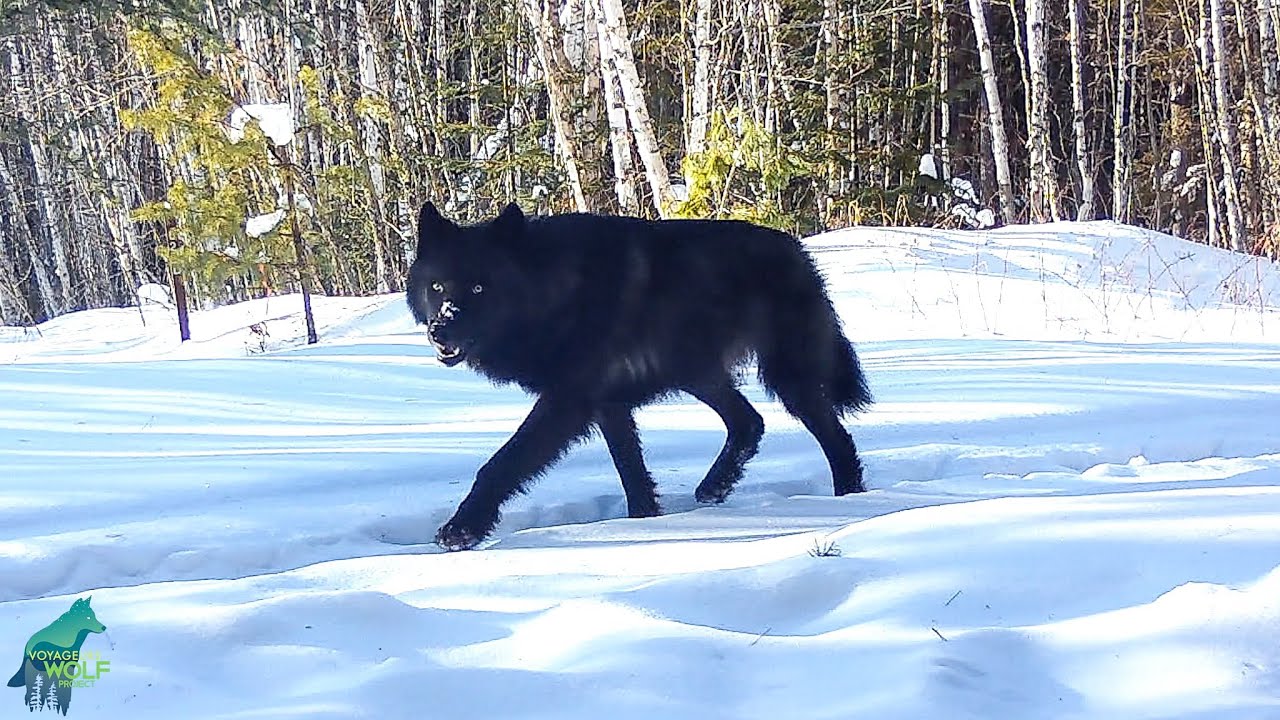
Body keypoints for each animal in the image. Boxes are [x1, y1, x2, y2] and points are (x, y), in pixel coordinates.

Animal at [407, 202, 872, 551]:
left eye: (479, 288)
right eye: (437, 287)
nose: (440, 329)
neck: (555, 294)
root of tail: (796, 249)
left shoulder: (568, 401)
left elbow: (502, 462)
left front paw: (461, 530)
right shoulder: (608, 404)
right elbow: (631, 471)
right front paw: (642, 524)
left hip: (784, 378)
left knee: (834, 437)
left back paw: (850, 504)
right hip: (695, 373)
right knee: (749, 422)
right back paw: (714, 487)